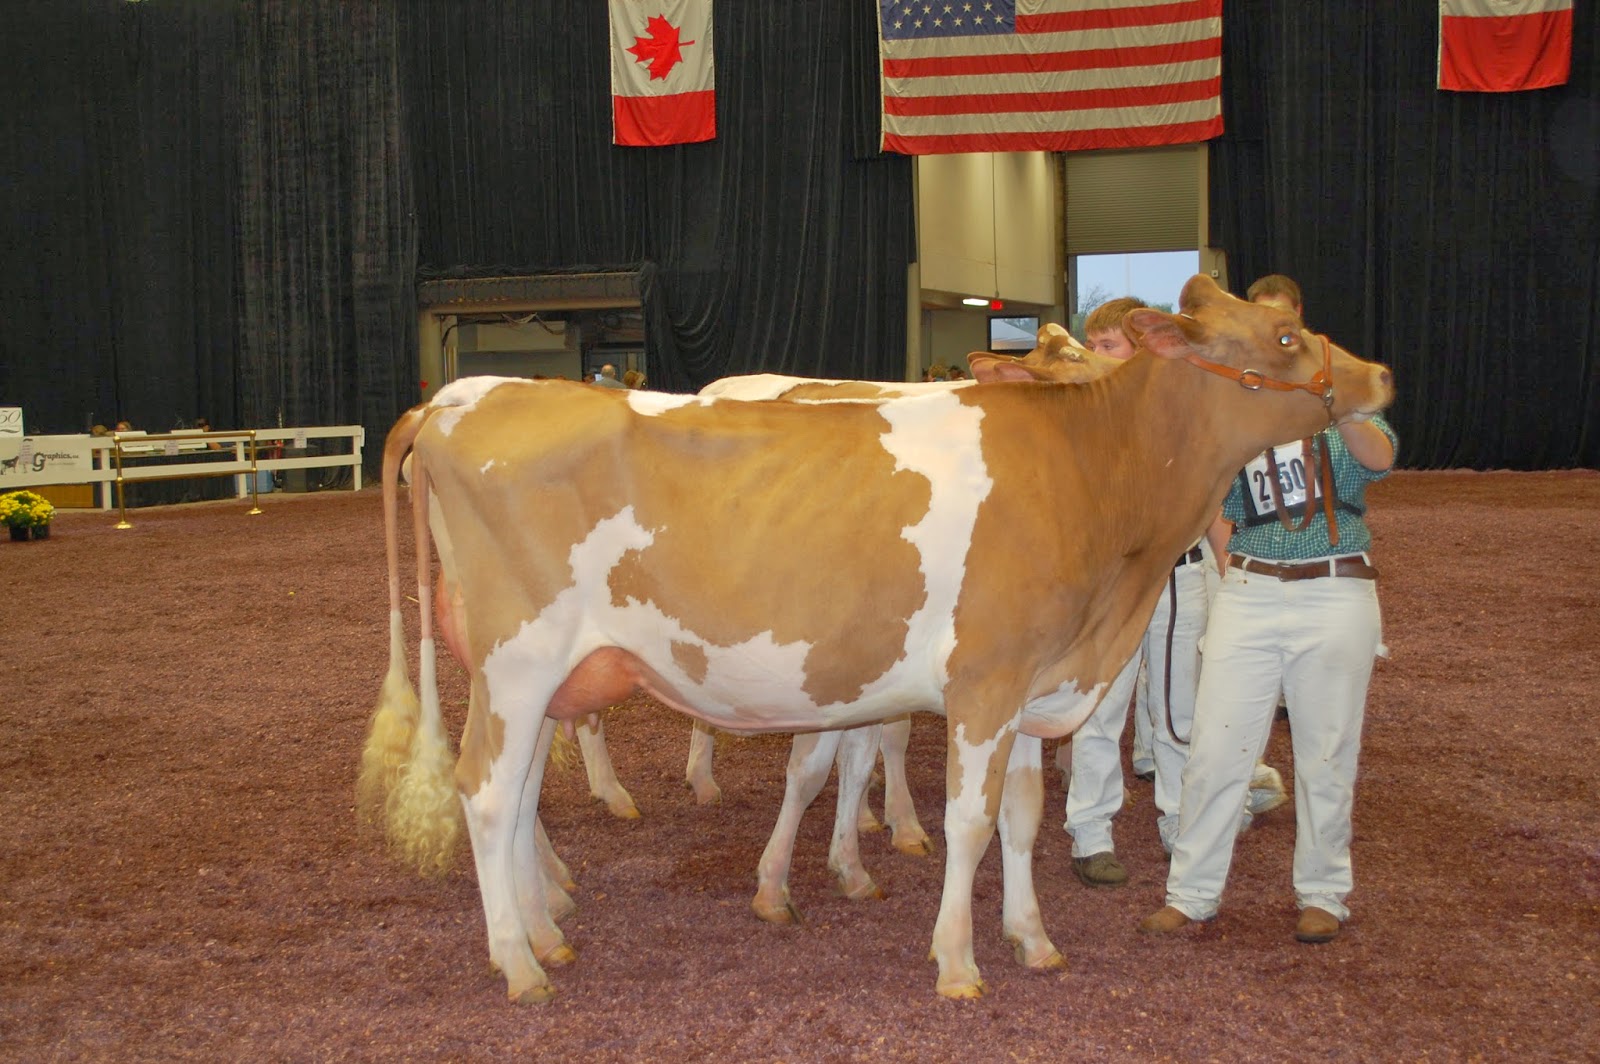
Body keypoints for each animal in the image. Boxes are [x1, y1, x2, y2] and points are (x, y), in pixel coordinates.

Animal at [362, 275, 1393, 1002]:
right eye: (1286, 339)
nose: (1381, 374)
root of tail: (464, 394)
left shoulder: (1030, 685)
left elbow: (1020, 816)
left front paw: (1032, 938)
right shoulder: (984, 683)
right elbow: (968, 821)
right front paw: (957, 960)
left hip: (541, 674)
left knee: (520, 791)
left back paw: (546, 932)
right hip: (520, 659)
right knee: (487, 792)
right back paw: (519, 964)